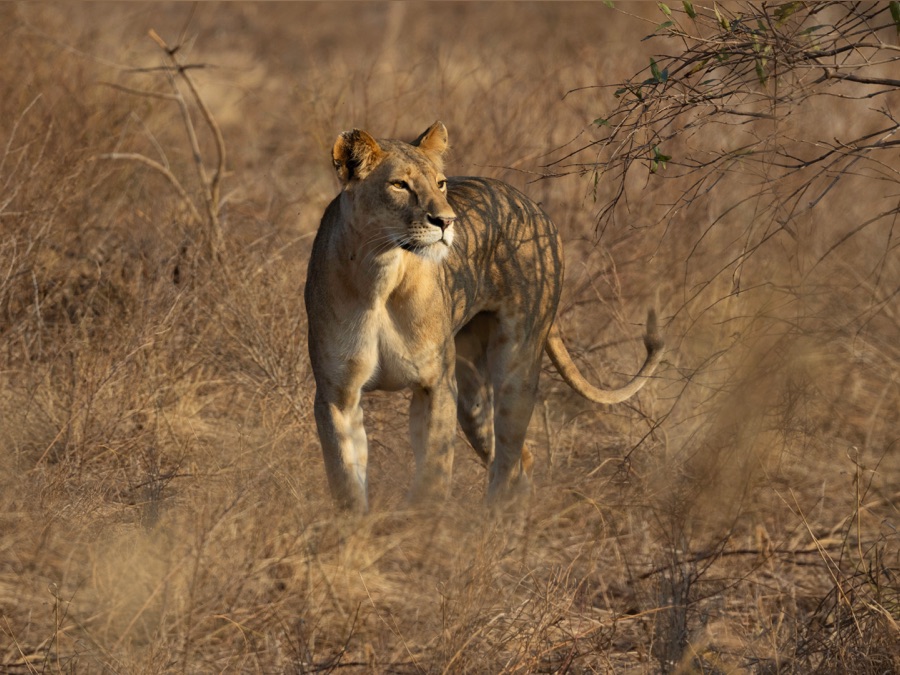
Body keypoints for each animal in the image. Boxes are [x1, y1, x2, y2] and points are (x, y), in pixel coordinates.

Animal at [305, 121, 663, 512]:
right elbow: (345, 478)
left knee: (509, 459)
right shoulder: (337, 394)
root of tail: (534, 206)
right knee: (519, 459)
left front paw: (419, 521)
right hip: (471, 397)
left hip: (516, 367)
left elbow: (433, 474)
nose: (446, 221)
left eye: (440, 183)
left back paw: (493, 521)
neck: (380, 274)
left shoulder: (436, 383)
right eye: (399, 185)